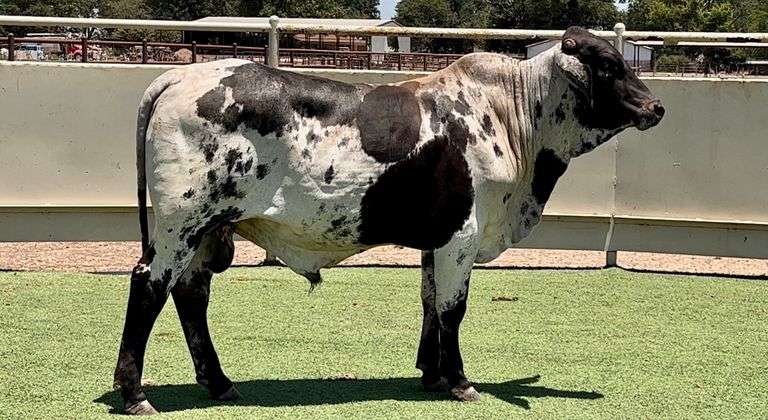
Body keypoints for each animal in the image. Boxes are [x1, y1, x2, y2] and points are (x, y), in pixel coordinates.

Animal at [113, 27, 664, 414]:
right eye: (609, 65)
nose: (657, 106)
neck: (512, 116)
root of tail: (180, 75)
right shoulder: (461, 236)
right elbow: (452, 309)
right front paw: (460, 382)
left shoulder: (436, 240)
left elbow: (430, 302)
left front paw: (431, 374)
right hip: (180, 225)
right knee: (149, 287)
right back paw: (136, 394)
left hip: (206, 232)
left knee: (191, 295)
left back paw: (219, 383)